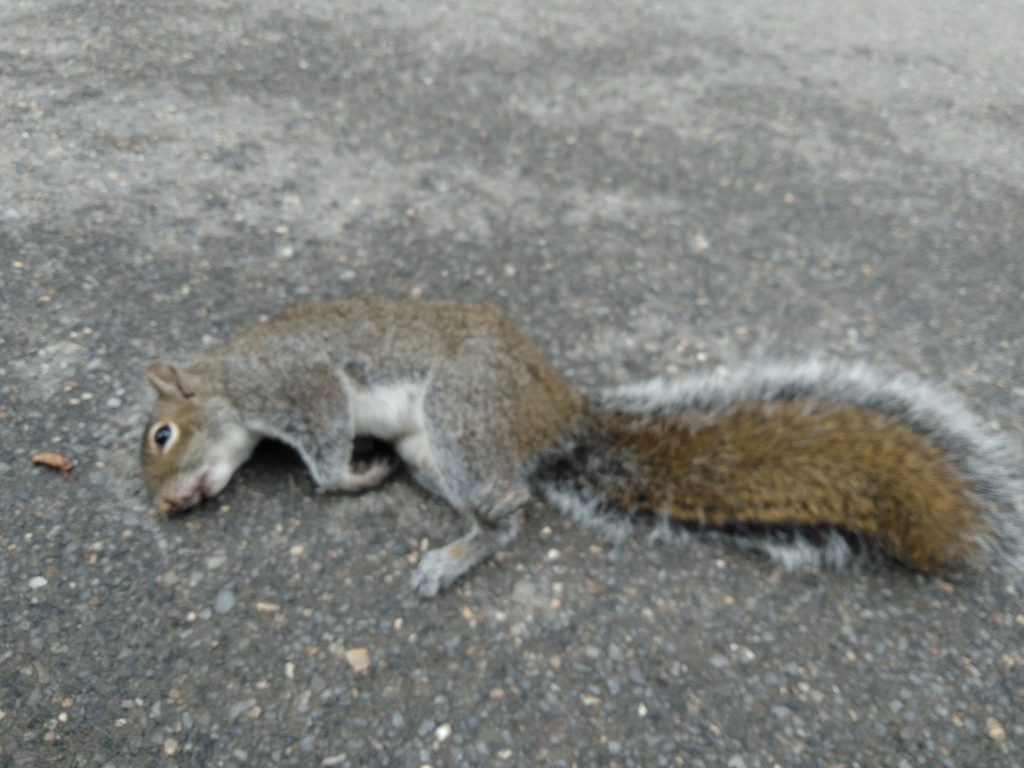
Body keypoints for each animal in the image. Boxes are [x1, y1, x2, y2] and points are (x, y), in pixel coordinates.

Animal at [140, 296, 1024, 596]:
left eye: (161, 435)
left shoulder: (298, 385)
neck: (227, 378)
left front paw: (351, 476)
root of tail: (557, 413)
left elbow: (323, 456)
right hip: (441, 449)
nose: (164, 505)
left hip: (463, 411)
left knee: (510, 516)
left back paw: (451, 558)